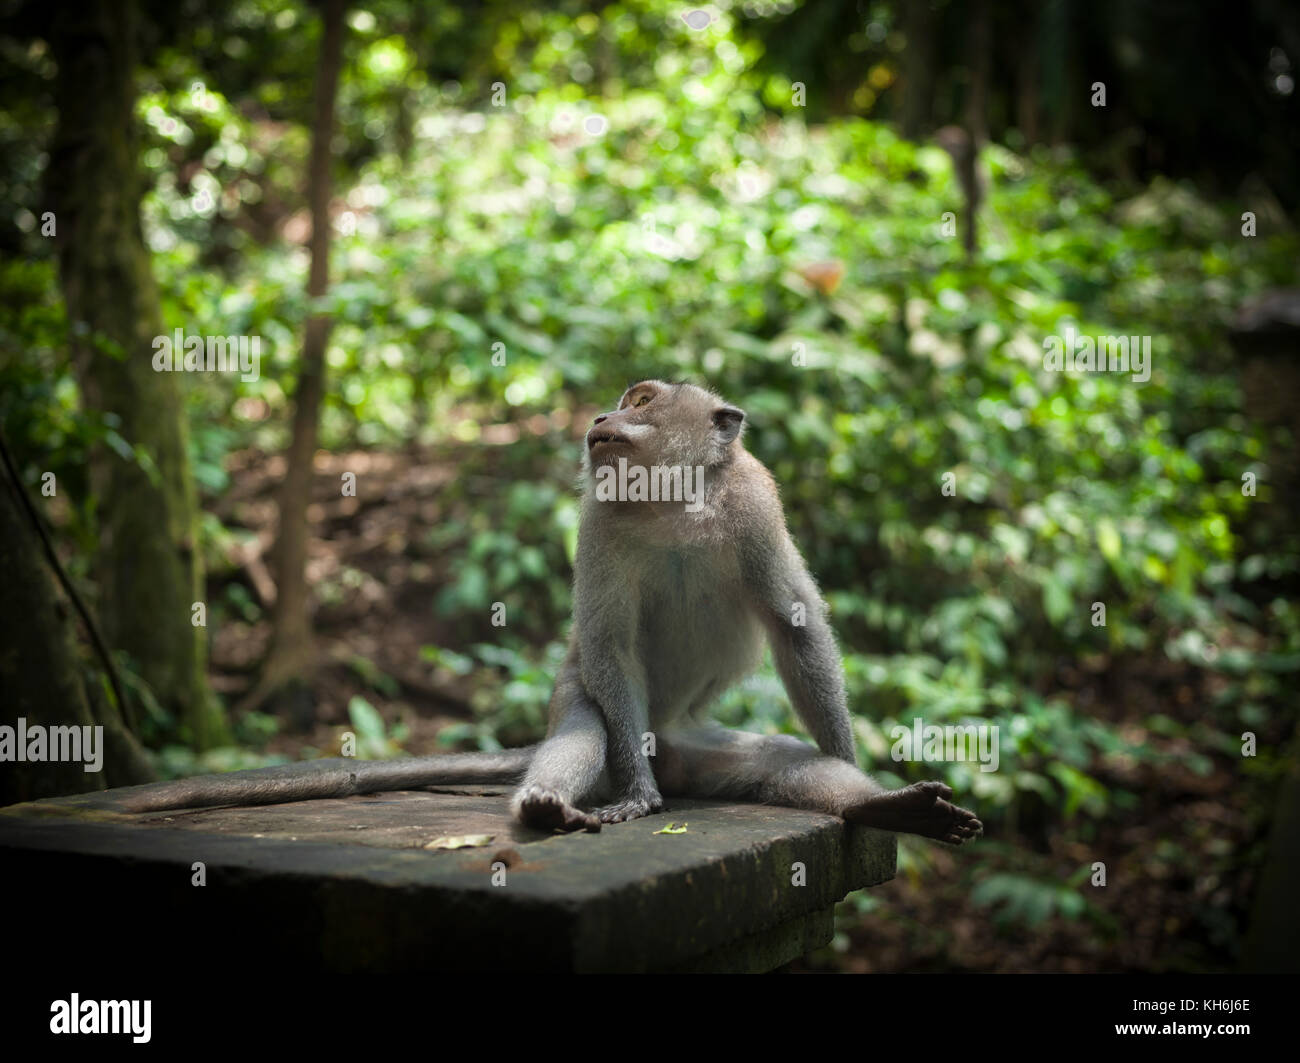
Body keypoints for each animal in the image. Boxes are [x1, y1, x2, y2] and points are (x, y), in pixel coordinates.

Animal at [123, 381, 981, 847]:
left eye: (641, 399)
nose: (600, 416)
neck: (674, 502)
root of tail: (670, 742)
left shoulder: (755, 501)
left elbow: (792, 620)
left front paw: (846, 748)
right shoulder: (597, 519)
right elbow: (608, 642)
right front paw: (631, 793)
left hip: (695, 744)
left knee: (777, 765)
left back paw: (889, 805)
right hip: (610, 716)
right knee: (589, 727)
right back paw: (554, 801)